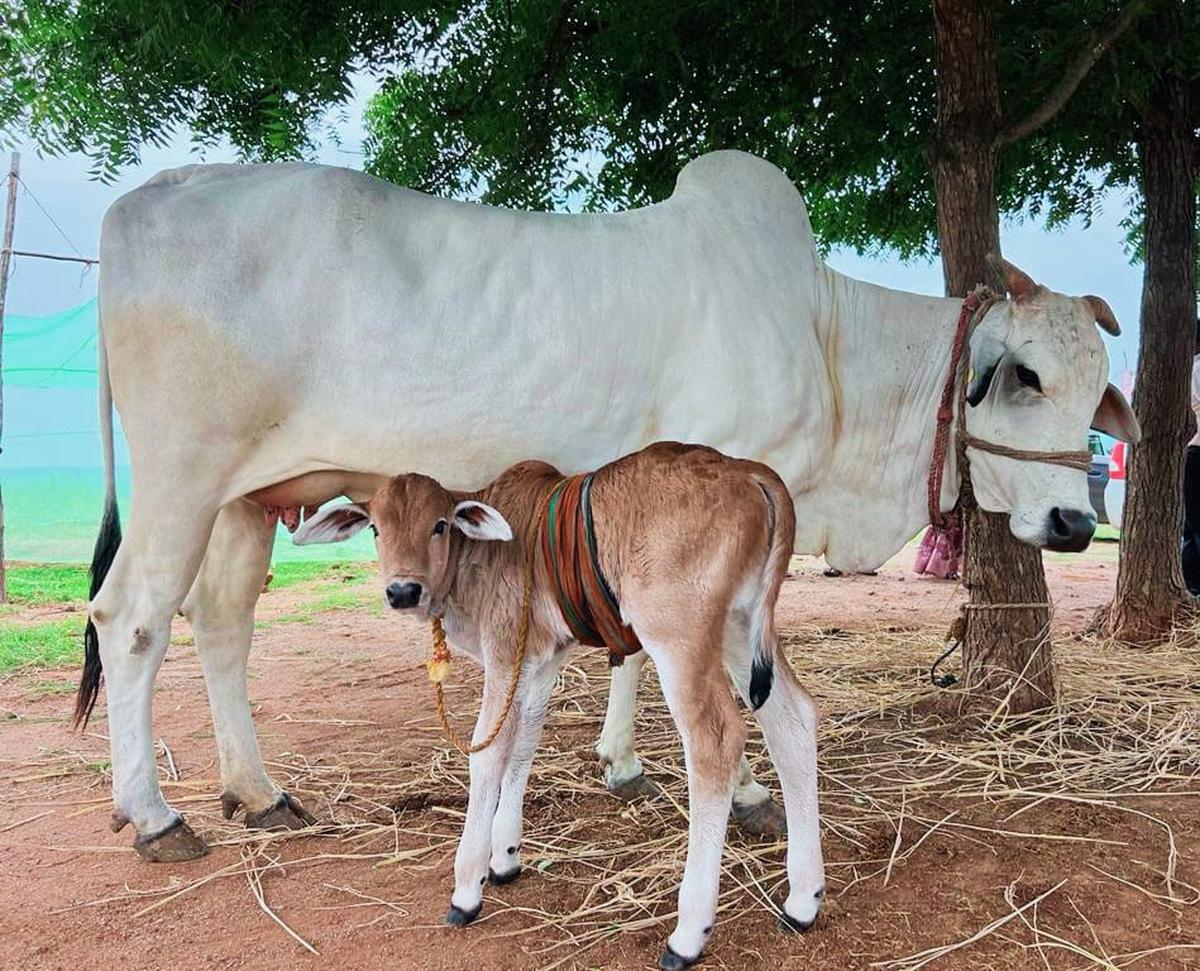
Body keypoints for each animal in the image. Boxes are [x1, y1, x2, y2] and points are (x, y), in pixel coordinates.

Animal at [76, 150, 1139, 865]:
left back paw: (256, 793)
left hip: (246, 499)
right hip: (182, 476)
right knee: (131, 620)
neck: (825, 335)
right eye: (1027, 376)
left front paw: (621, 763)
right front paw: (746, 789)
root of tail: (145, 197)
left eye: (1098, 392)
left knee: (220, 621)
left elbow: (629, 644)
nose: (1074, 525)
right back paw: (157, 816)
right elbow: (723, 668)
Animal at [290, 442, 820, 969]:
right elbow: (523, 745)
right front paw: (504, 857)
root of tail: (749, 473)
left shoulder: (504, 654)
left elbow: (488, 755)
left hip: (680, 639)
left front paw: (467, 887)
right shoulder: (539, 661)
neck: (479, 554)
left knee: (716, 739)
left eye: (439, 525)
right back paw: (802, 901)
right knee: (792, 719)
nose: (403, 591)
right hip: (740, 627)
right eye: (376, 529)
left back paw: (688, 933)